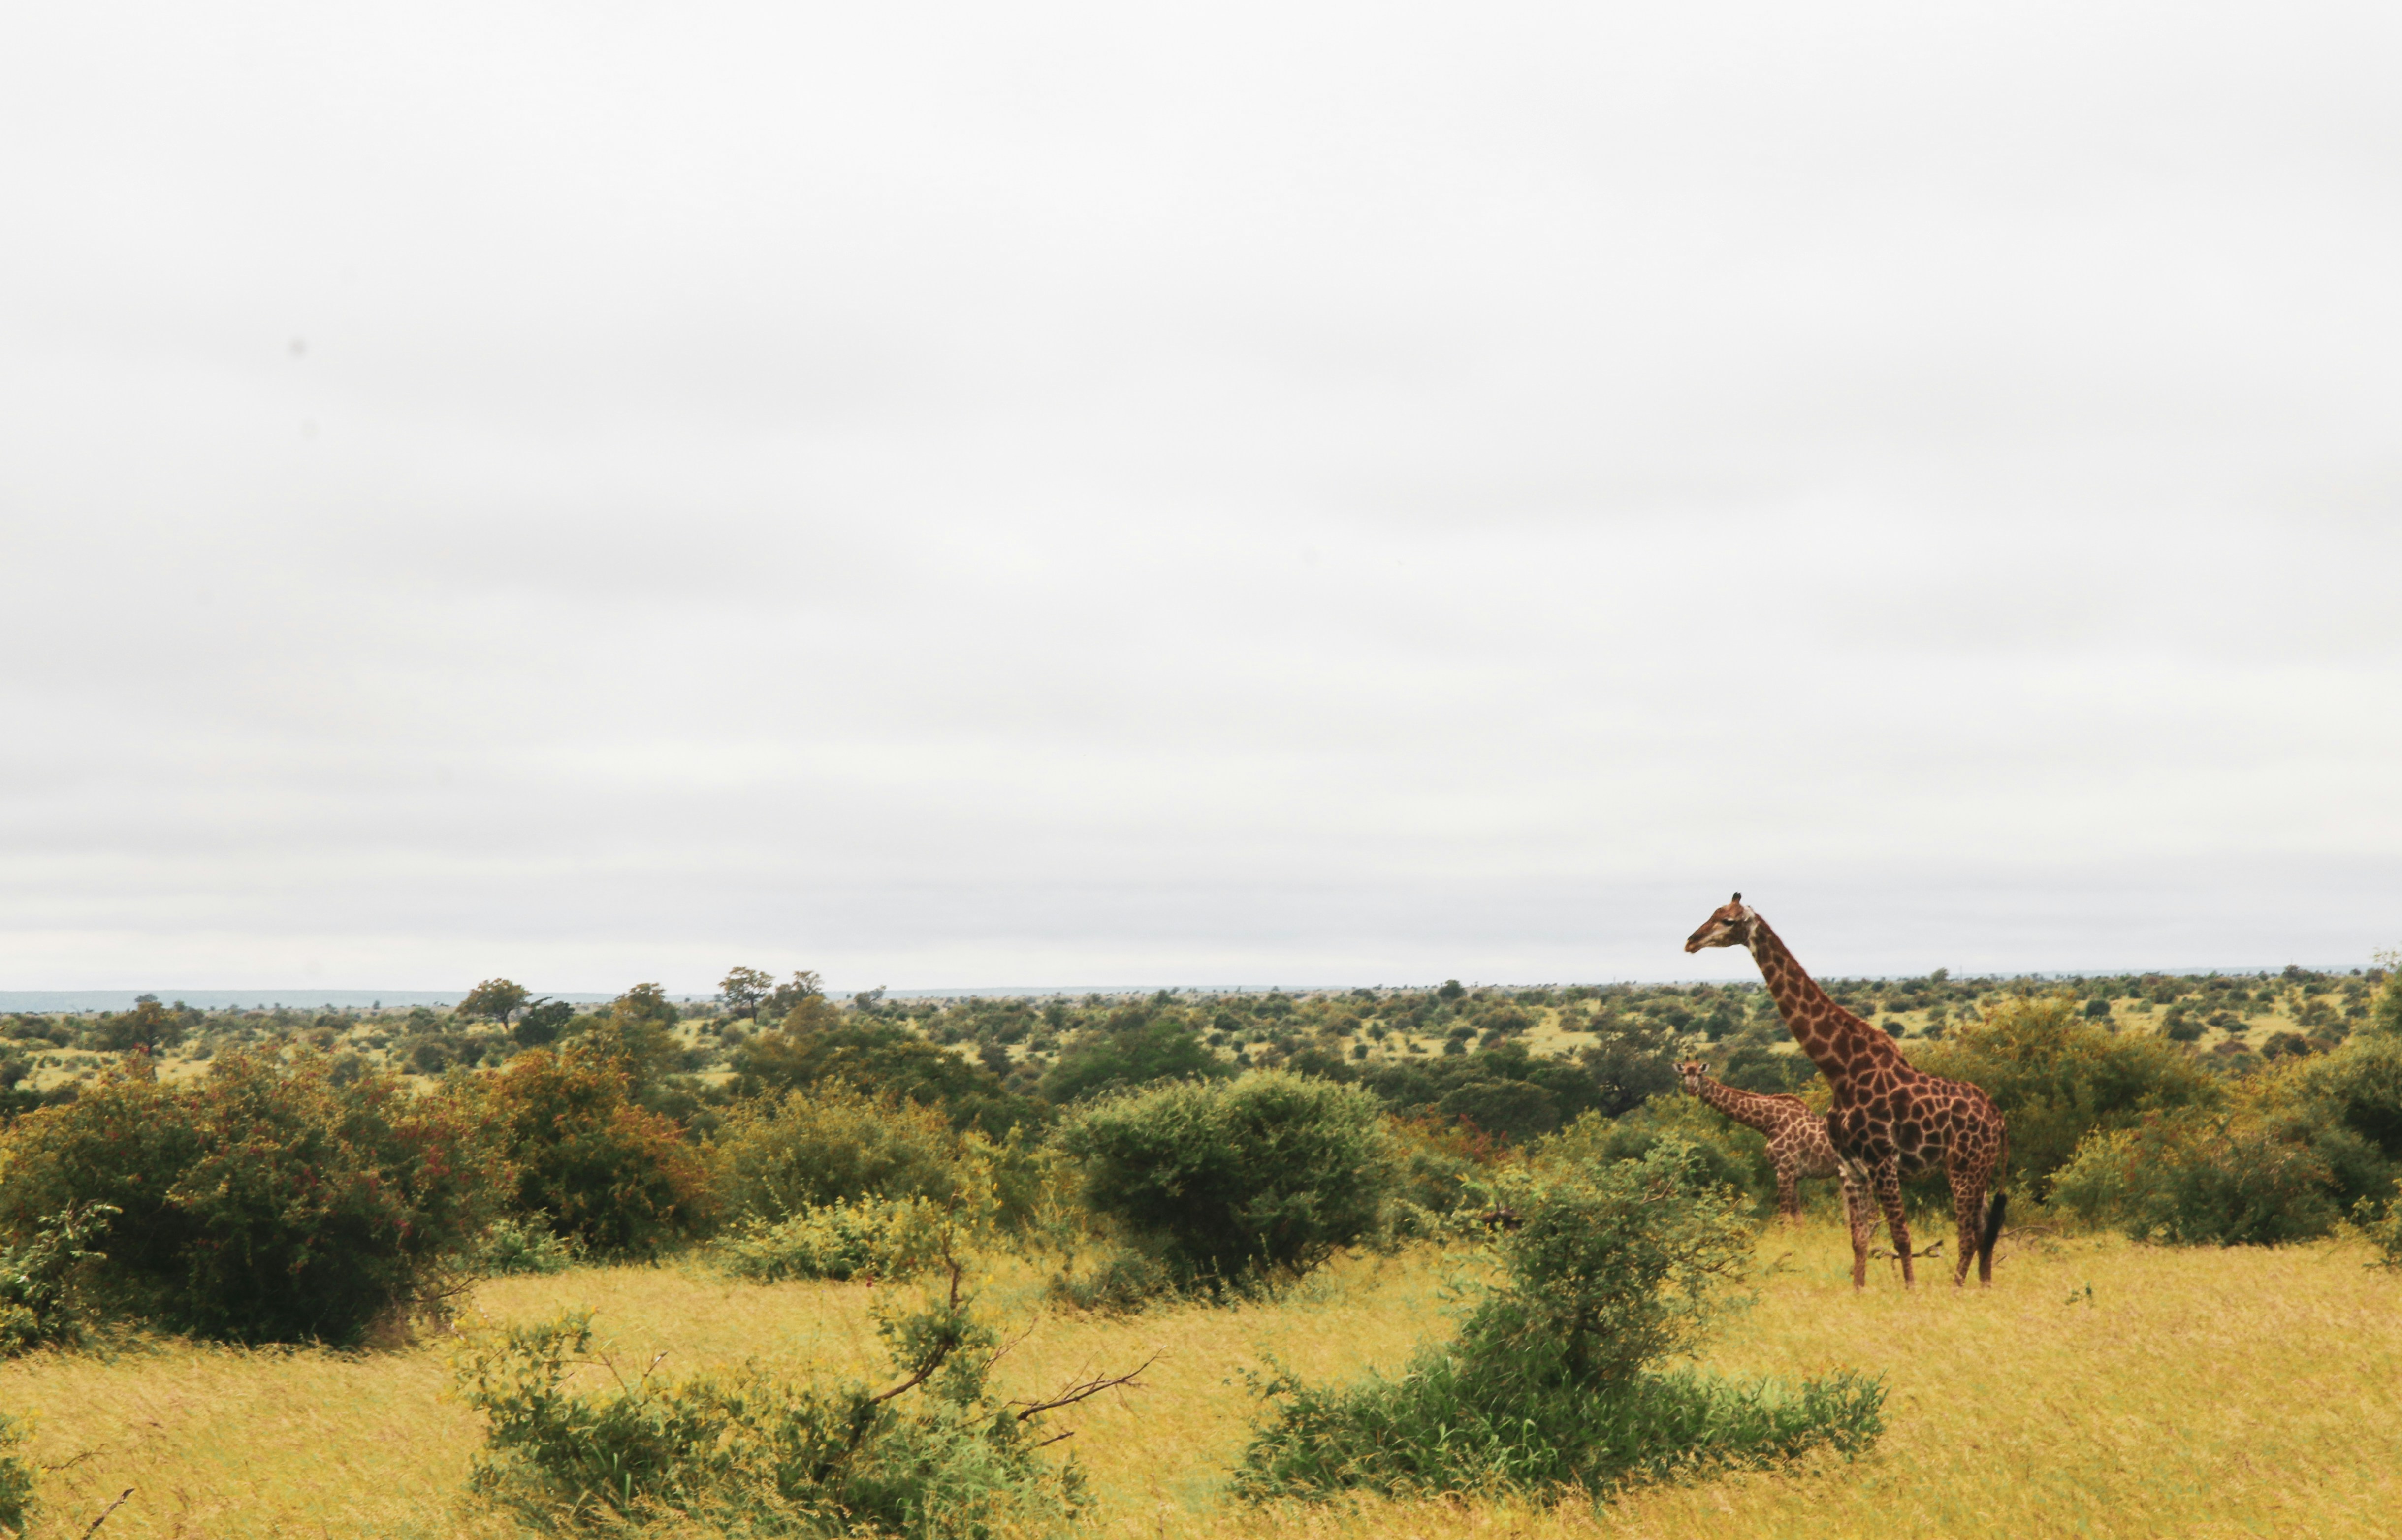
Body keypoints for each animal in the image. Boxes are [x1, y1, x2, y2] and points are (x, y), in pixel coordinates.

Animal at [1675, 1060, 1867, 1242]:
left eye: (1699, 1074)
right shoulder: (1794, 1175)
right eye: (1684, 1075)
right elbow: (1799, 1218)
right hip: (1844, 1175)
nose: (1691, 1089)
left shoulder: (1784, 1170)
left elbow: (1785, 1217)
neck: (1768, 1122)